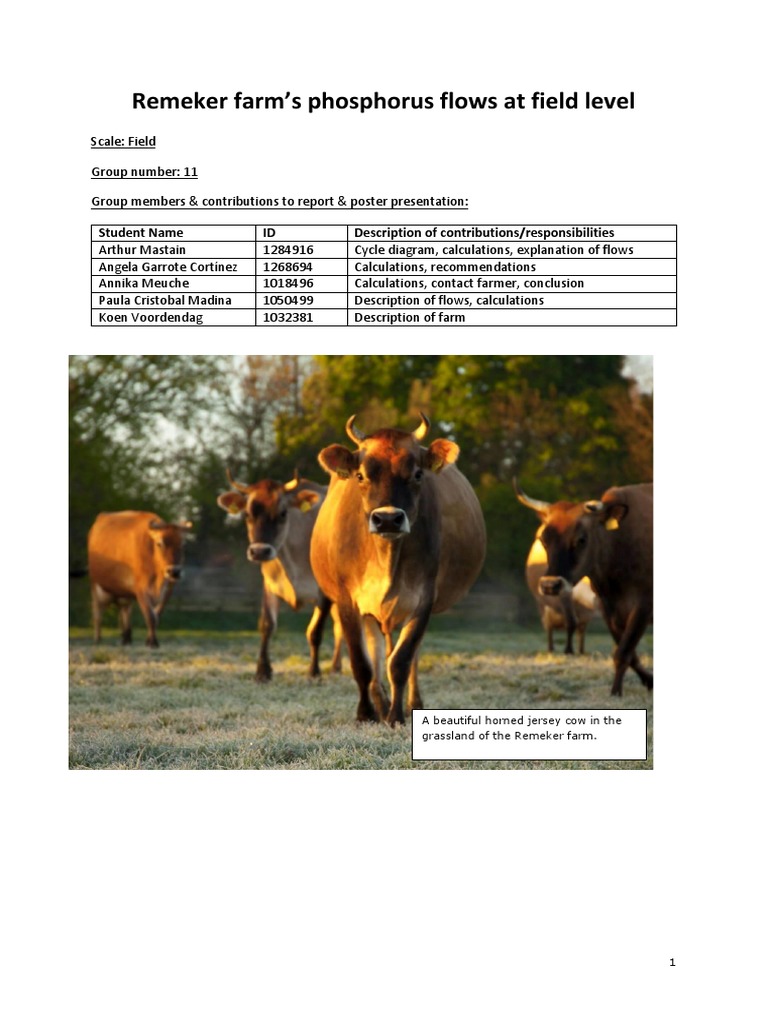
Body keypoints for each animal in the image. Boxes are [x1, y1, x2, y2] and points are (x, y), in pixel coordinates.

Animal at [87, 511, 192, 648]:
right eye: (159, 543)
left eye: (183, 544)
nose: (174, 571)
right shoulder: (141, 589)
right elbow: (150, 616)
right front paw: (152, 643)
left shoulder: (168, 589)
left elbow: (156, 616)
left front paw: (149, 640)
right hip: (97, 586)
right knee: (98, 612)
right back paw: (98, 639)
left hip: (123, 592)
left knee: (124, 610)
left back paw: (126, 638)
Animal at [217, 470, 343, 682]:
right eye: (247, 514)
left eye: (283, 513)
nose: (260, 551)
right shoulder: (270, 585)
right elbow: (267, 625)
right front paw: (262, 672)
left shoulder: (323, 593)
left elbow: (315, 632)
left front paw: (314, 672)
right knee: (341, 626)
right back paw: (336, 667)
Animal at [311, 413, 486, 726]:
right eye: (360, 475)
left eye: (417, 474)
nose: (388, 519)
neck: (386, 558)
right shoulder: (347, 601)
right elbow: (362, 663)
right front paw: (366, 713)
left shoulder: (423, 599)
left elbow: (402, 660)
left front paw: (396, 716)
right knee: (377, 652)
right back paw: (380, 703)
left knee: (405, 654)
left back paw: (410, 703)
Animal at [515, 481, 653, 696]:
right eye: (544, 540)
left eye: (581, 540)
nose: (549, 585)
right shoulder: (607, 607)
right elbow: (628, 653)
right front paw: (648, 681)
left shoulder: (643, 606)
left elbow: (623, 652)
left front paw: (615, 692)